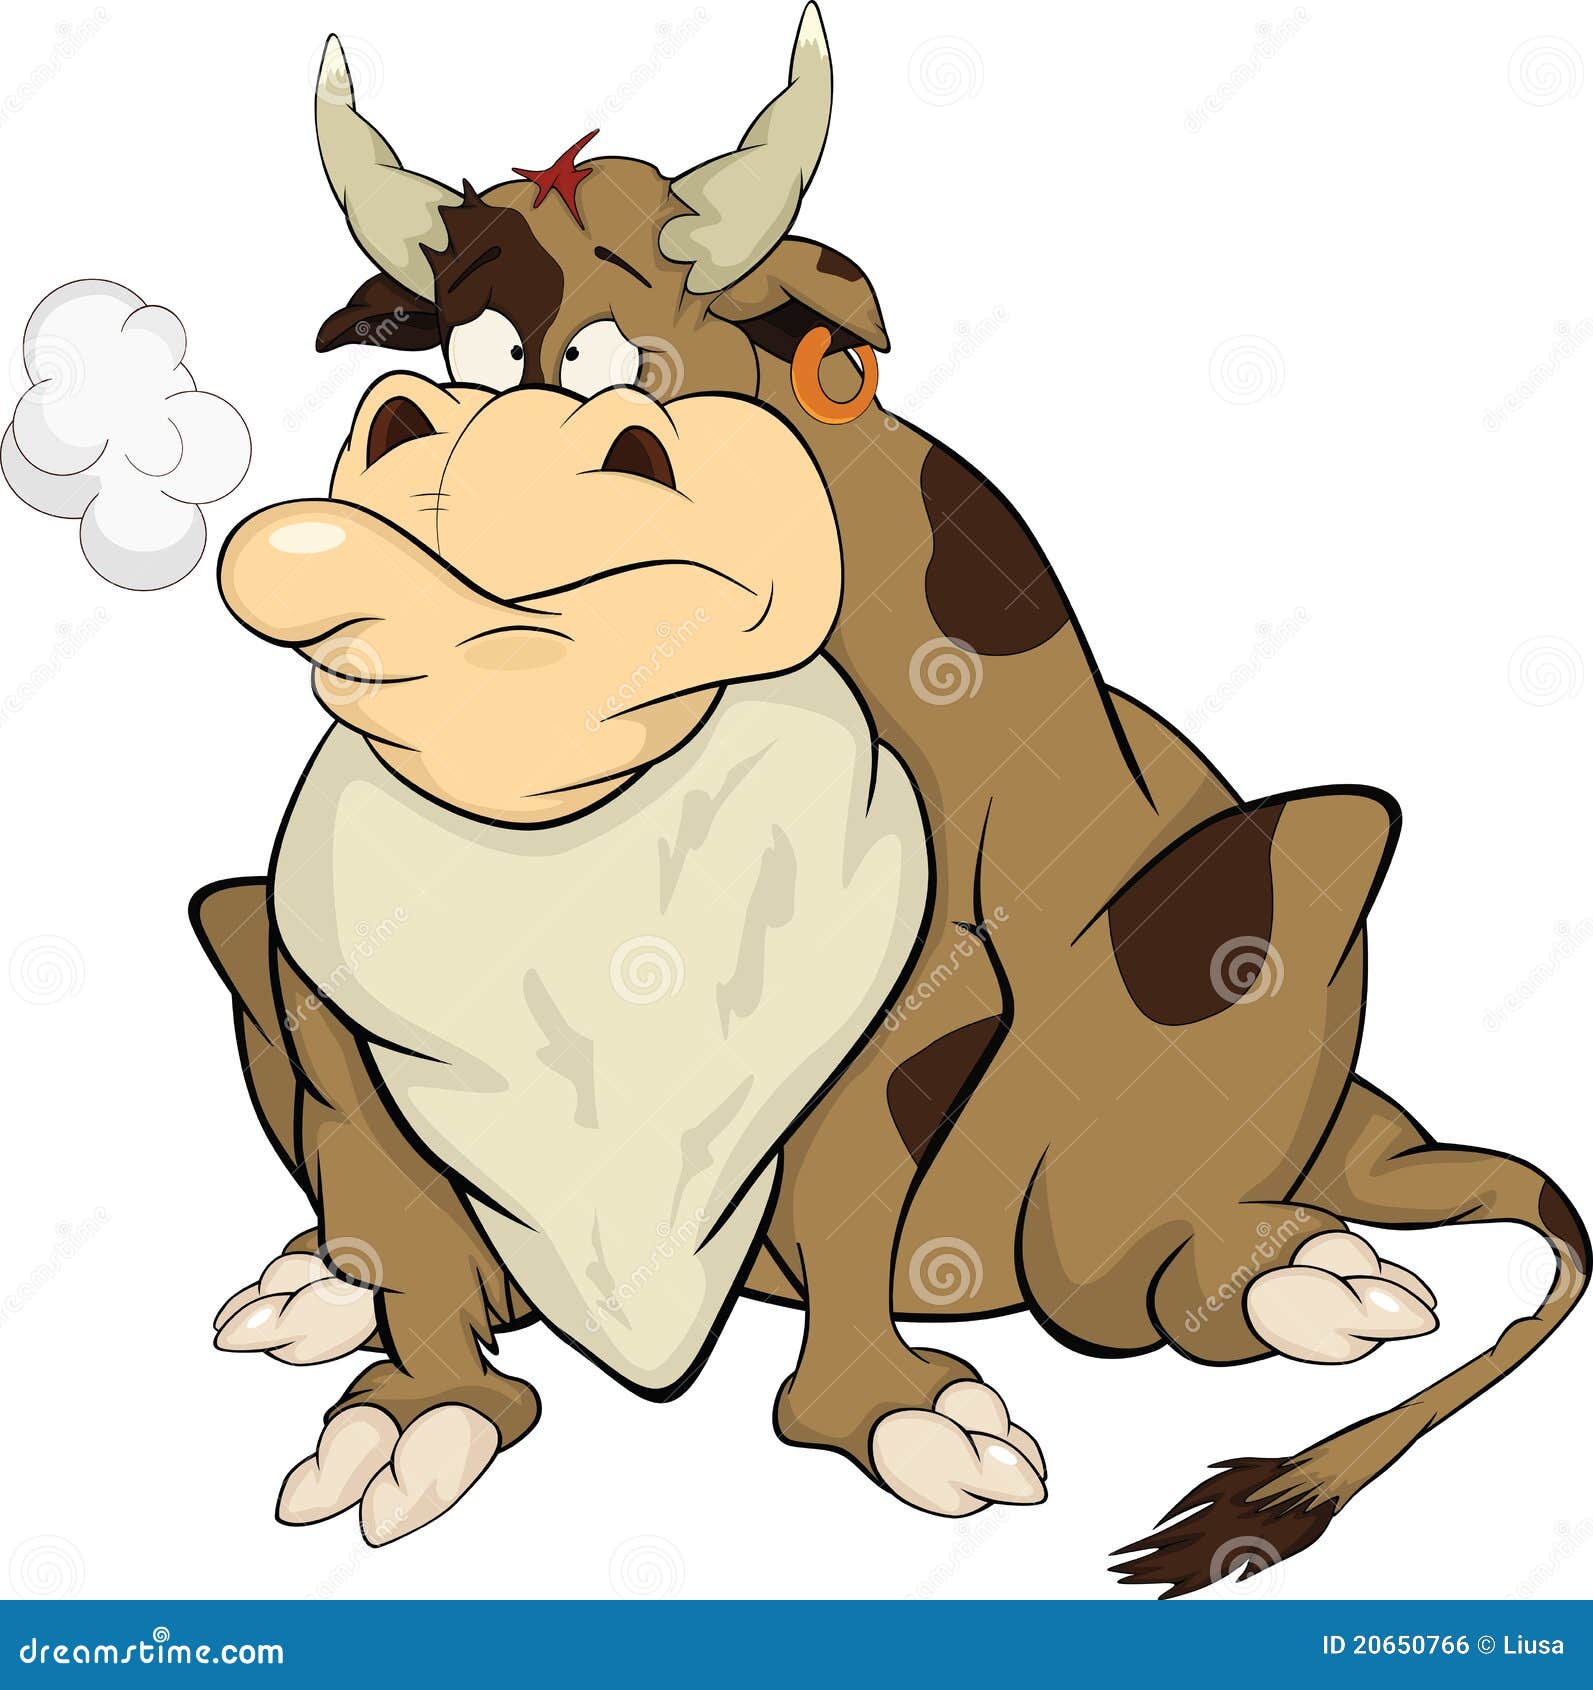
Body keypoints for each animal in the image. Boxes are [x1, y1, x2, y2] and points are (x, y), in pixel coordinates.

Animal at [192, 8, 1585, 1592]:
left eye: (636, 413)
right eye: (448, 388)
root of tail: (1355, 1120)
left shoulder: (924, 967)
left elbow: (849, 1167)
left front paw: (887, 1411)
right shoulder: (316, 957)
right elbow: (391, 1181)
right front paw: (422, 1404)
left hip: (1260, 915)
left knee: (1138, 1238)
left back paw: (1286, 1270)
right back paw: (319, 1279)